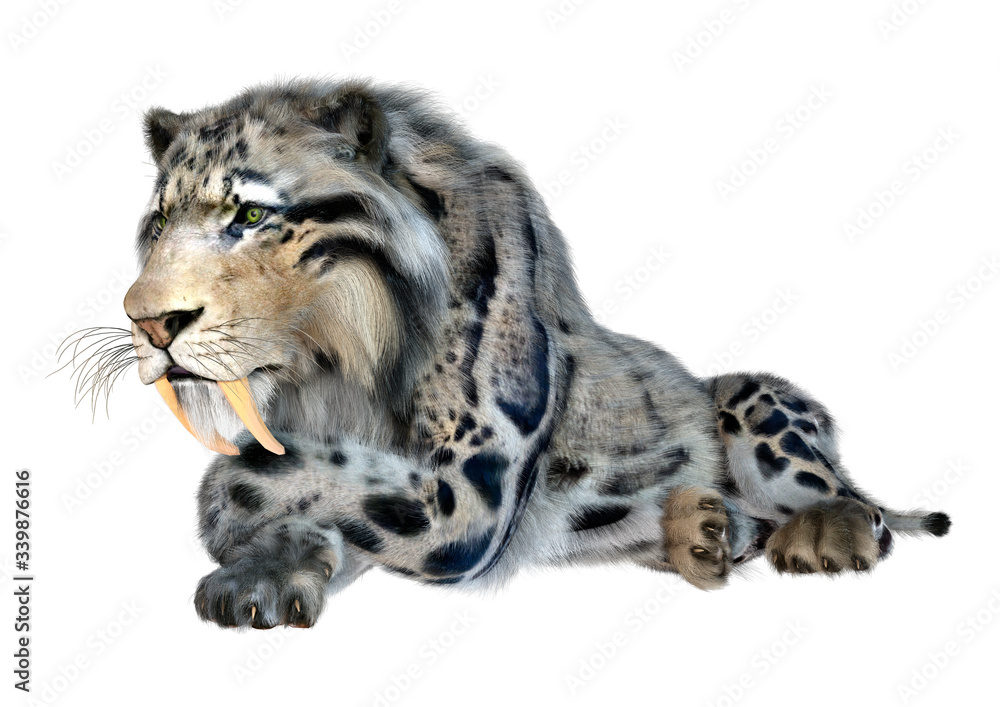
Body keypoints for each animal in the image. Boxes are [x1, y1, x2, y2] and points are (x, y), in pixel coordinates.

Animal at [75, 78, 949, 629]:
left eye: (251, 213)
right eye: (159, 222)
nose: (149, 322)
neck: (331, 360)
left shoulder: (468, 485)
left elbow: (248, 475)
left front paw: (242, 538)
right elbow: (314, 488)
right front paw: (264, 575)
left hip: (755, 398)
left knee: (861, 505)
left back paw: (816, 533)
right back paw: (701, 530)